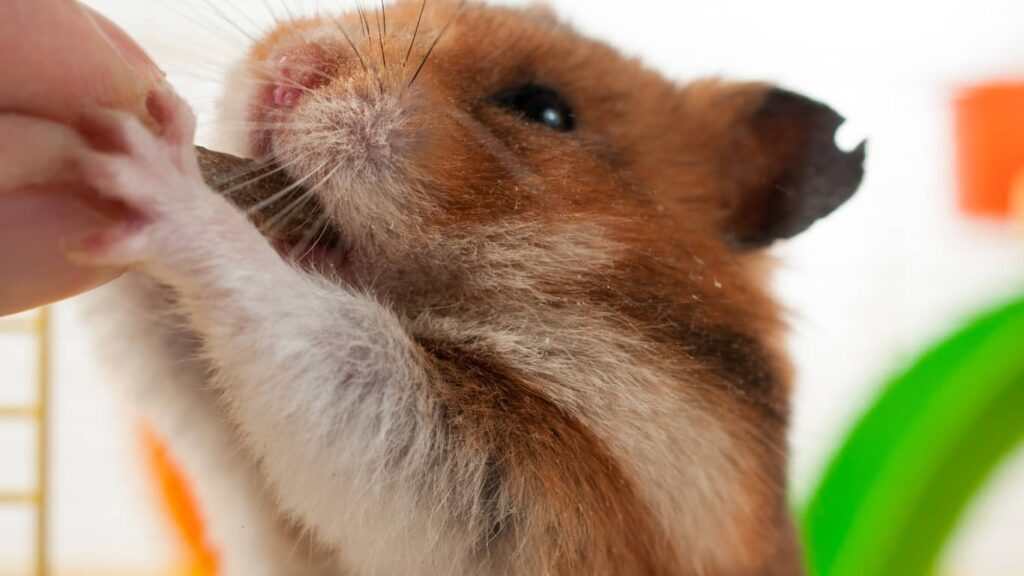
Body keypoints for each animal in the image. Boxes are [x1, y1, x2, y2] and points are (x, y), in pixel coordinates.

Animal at [79, 1, 865, 575]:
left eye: (545, 110)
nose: (289, 68)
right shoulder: (240, 464)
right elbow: (162, 339)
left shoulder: (523, 490)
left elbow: (315, 331)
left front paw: (157, 172)